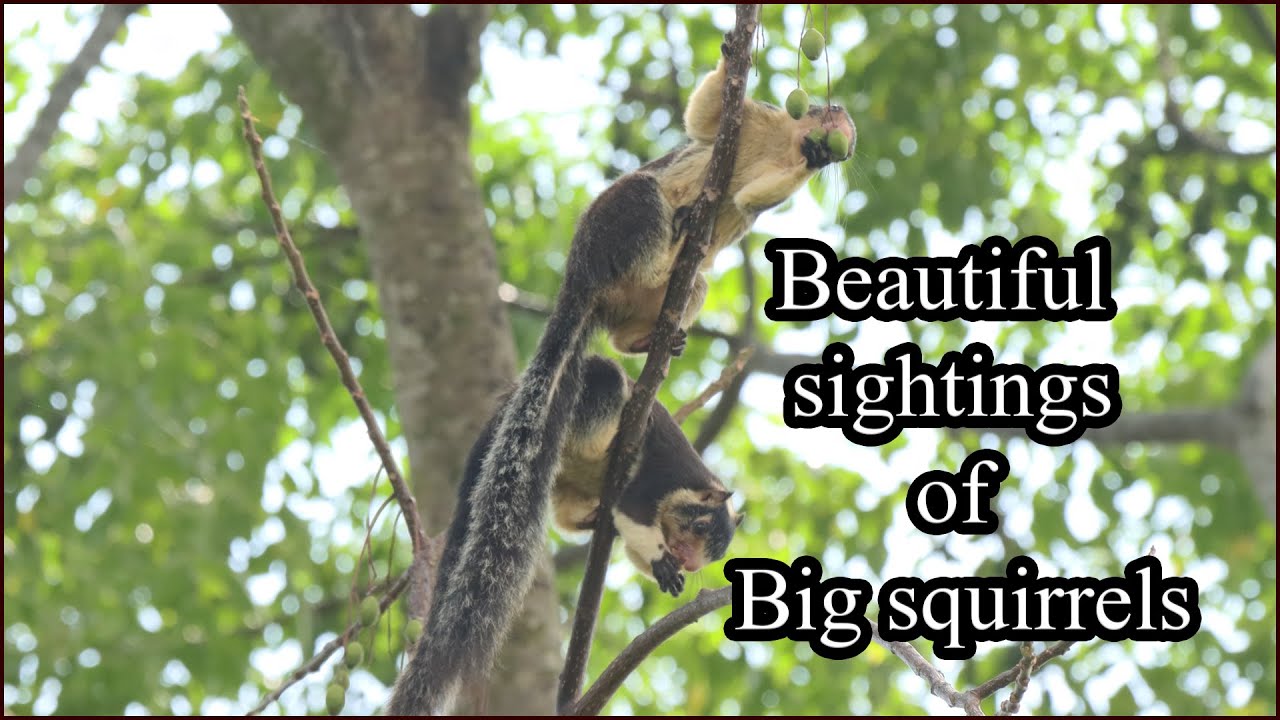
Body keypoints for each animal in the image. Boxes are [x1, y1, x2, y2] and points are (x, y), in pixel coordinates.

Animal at [386, 54, 855, 715]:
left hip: (682, 291)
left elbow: (755, 196)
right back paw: (676, 233)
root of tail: (582, 285)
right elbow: (707, 114)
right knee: (647, 225)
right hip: (624, 220)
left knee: (662, 308)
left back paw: (656, 337)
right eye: (830, 109)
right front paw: (733, 60)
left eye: (713, 549)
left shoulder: (772, 186)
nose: (838, 135)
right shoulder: (748, 123)